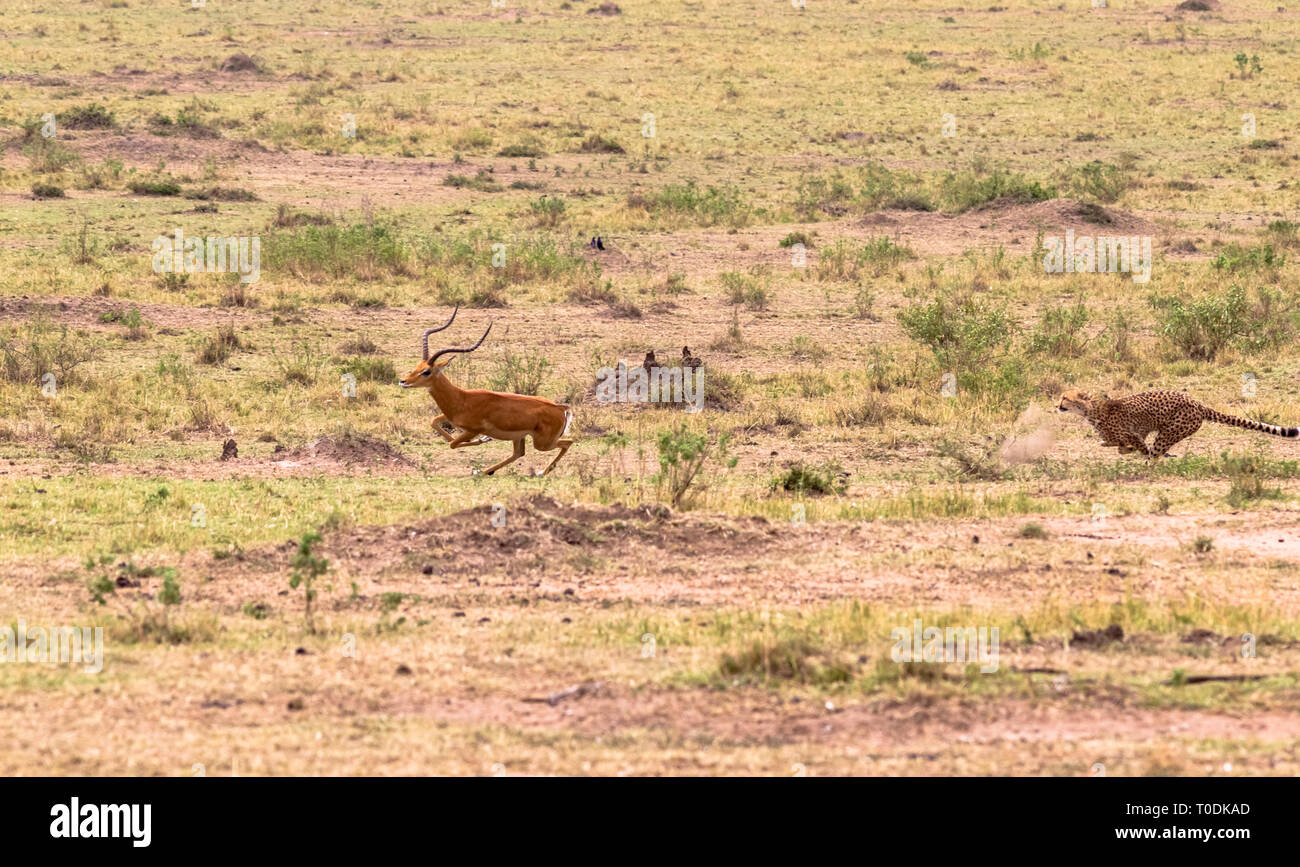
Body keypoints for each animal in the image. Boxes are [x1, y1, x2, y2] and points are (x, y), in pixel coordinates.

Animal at [399, 308, 574, 476]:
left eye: (426, 371)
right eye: (418, 366)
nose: (403, 381)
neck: (461, 398)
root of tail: (560, 408)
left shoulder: (473, 430)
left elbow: (453, 443)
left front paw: (484, 439)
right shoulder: (450, 417)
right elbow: (435, 422)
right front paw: (484, 441)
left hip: (543, 443)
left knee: (568, 442)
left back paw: (540, 472)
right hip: (521, 438)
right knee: (518, 453)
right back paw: (484, 471)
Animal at [1058, 389, 1298, 458]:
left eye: (1065, 398)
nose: (1056, 404)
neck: (1089, 410)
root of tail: (1197, 403)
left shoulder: (1135, 435)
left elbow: (1139, 447)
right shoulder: (1133, 434)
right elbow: (1116, 444)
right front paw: (1119, 449)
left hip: (1171, 431)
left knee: (1155, 454)